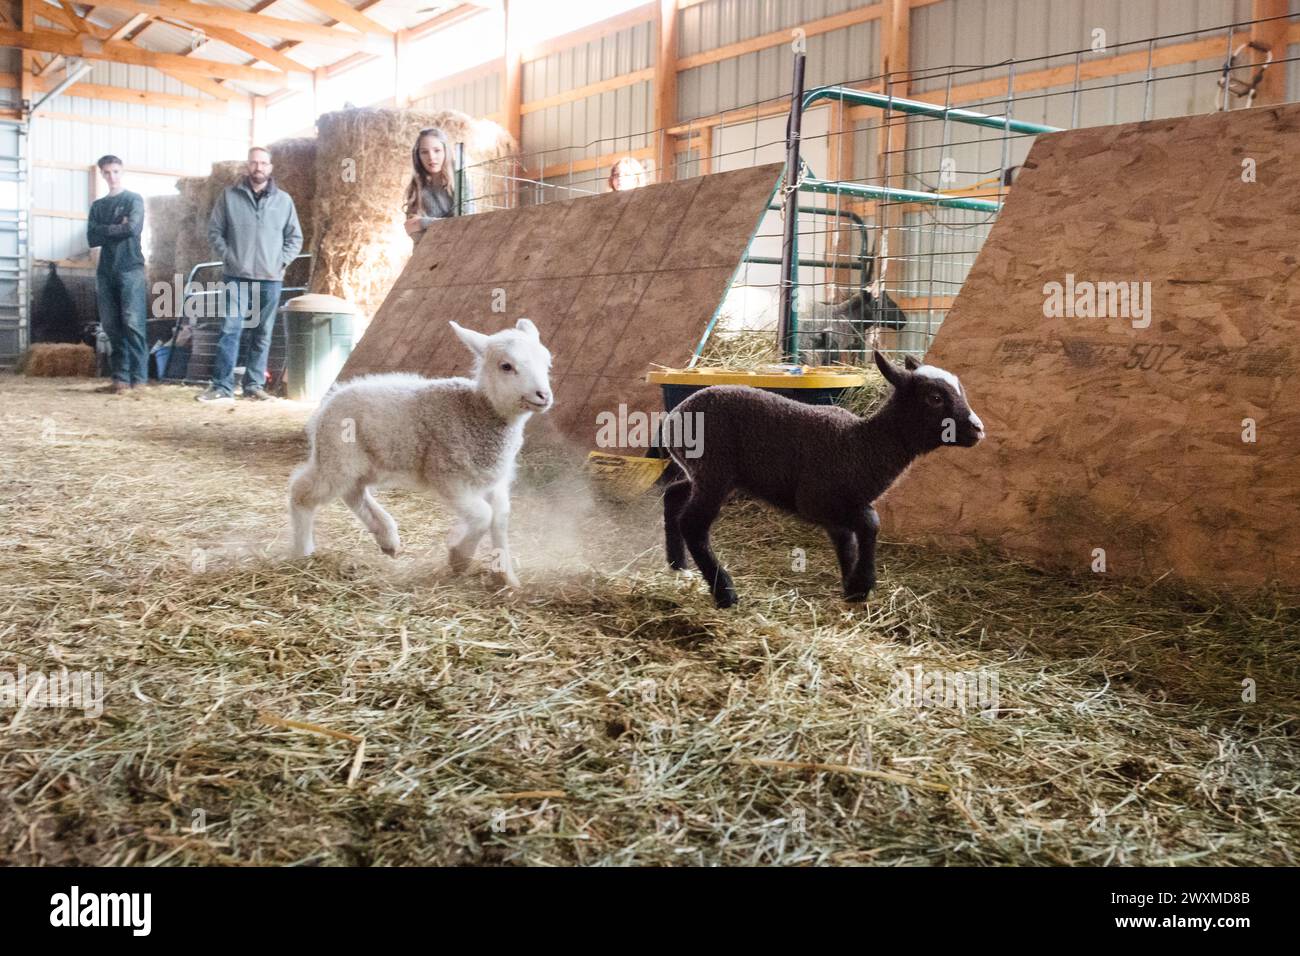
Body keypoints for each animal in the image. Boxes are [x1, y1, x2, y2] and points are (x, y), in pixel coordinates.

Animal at [288, 318, 553, 587]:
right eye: (506, 366)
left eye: (546, 362)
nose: (544, 395)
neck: (476, 410)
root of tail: (331, 399)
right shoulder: (448, 477)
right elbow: (482, 516)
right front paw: (459, 558)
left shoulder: (494, 478)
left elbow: (499, 519)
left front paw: (506, 576)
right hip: (337, 456)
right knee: (302, 492)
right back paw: (303, 552)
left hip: (368, 461)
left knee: (353, 492)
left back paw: (387, 537)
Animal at [661, 350, 984, 608]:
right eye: (935, 398)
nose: (979, 429)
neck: (862, 444)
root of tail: (675, 416)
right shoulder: (817, 501)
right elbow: (871, 523)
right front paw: (863, 584)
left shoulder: (837, 515)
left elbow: (848, 543)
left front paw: (852, 588)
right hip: (715, 471)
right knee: (693, 524)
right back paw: (725, 592)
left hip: (705, 474)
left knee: (673, 494)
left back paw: (679, 567)